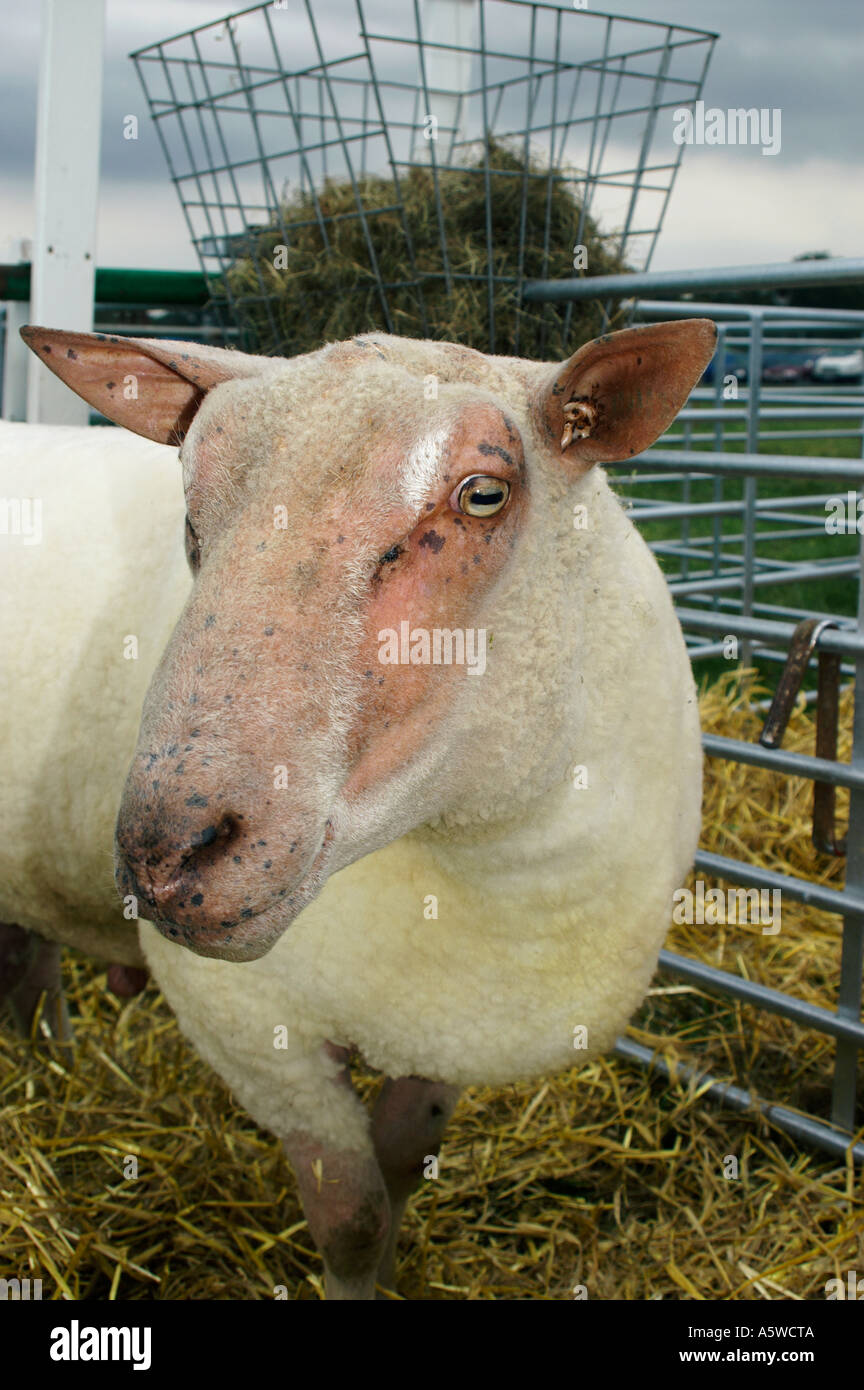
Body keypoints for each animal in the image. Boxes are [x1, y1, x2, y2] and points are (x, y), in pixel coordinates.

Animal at [0, 317, 716, 1299]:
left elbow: (404, 1164)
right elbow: (351, 1216)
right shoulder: (256, 1035)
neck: (482, 857)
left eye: (484, 494)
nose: (165, 852)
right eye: (191, 511)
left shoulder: (445, 1032)